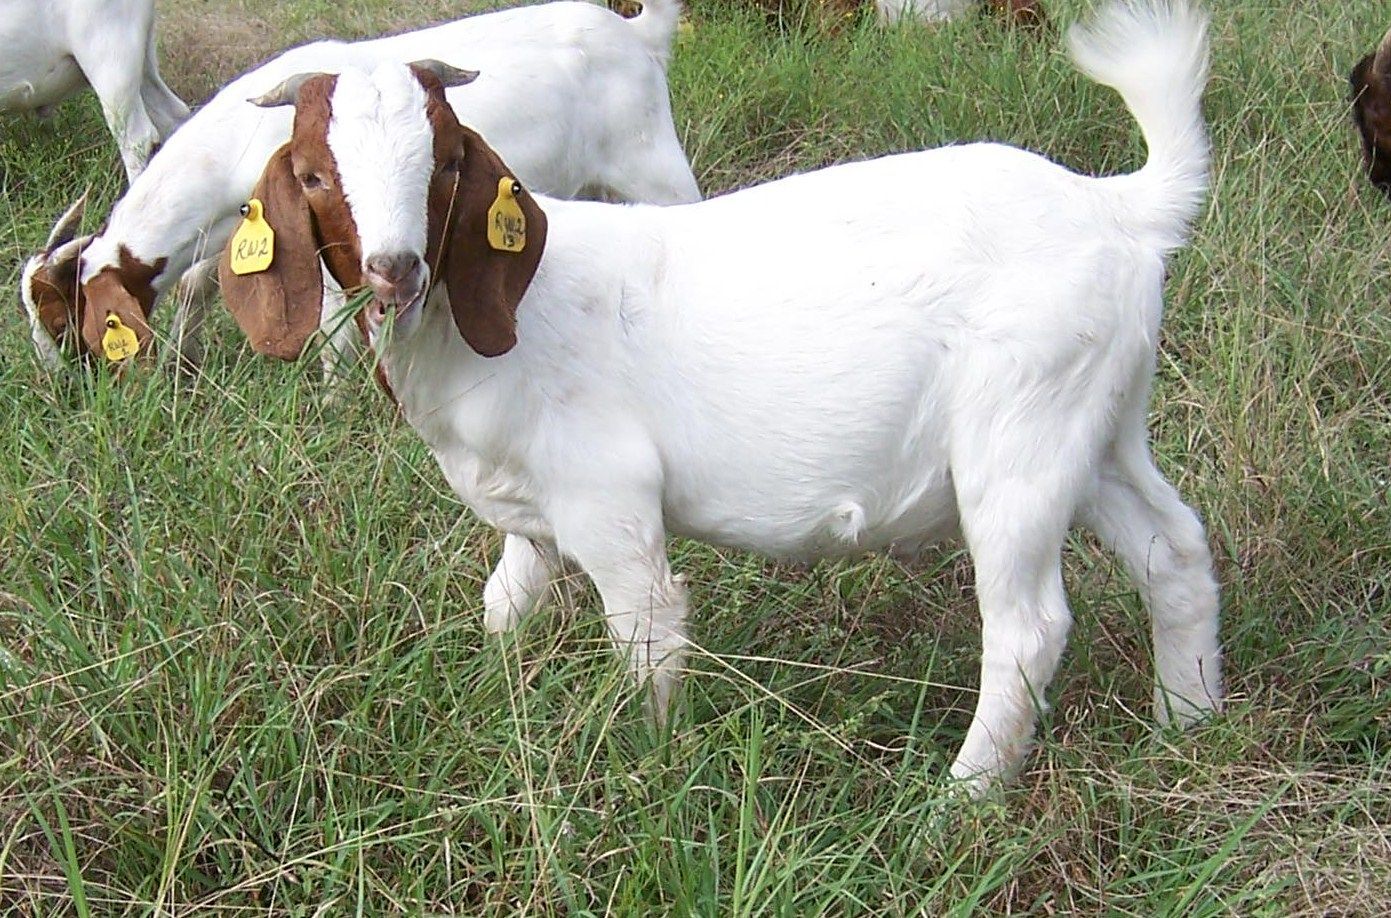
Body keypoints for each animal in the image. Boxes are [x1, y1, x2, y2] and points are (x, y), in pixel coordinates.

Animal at [20, 0, 699, 376]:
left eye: (59, 316)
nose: (59, 381)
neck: (237, 138)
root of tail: (635, 36)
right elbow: (193, 288)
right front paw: (178, 365)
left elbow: (330, 333)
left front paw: (331, 401)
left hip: (655, 164)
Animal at [220, 0, 1221, 793]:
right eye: (312, 175)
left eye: (444, 164)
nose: (396, 270)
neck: (513, 313)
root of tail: (1119, 208)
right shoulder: (527, 510)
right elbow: (507, 599)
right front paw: (491, 694)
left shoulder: (608, 501)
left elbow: (648, 633)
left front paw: (649, 772)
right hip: (1095, 425)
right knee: (1171, 548)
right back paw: (1188, 719)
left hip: (1017, 438)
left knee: (1027, 629)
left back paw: (959, 800)